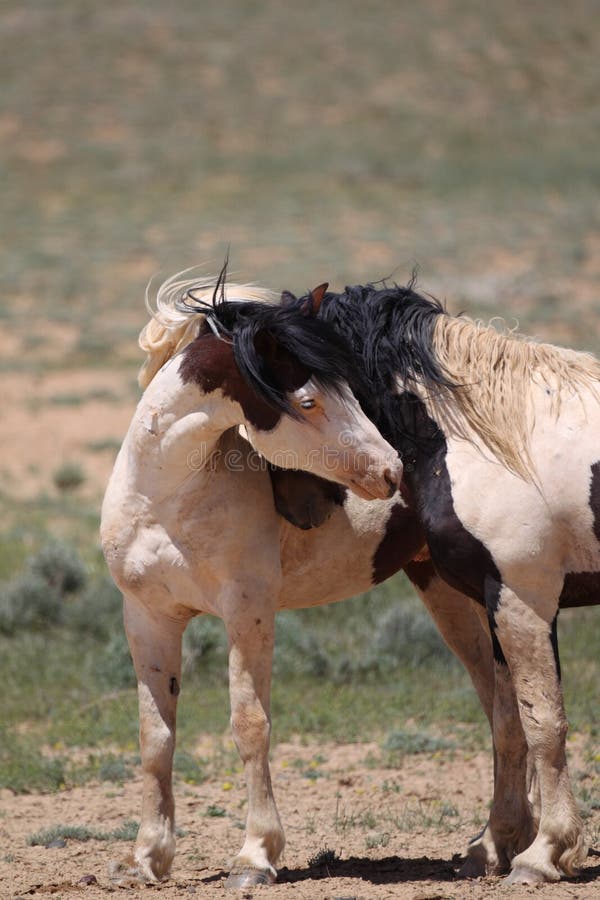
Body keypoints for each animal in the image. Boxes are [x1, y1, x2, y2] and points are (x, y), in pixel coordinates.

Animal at [101, 271, 495, 888]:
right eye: (308, 400)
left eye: (354, 391)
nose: (391, 471)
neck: (166, 497)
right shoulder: (148, 619)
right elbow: (155, 738)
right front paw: (146, 857)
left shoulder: (248, 613)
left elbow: (249, 725)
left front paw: (255, 855)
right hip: (441, 589)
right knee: (498, 697)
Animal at [285, 277, 599, 885]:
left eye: (302, 401)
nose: (299, 509)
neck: (489, 438)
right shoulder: (495, 605)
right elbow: (507, 723)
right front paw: (495, 844)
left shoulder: (523, 602)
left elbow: (543, 723)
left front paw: (545, 852)